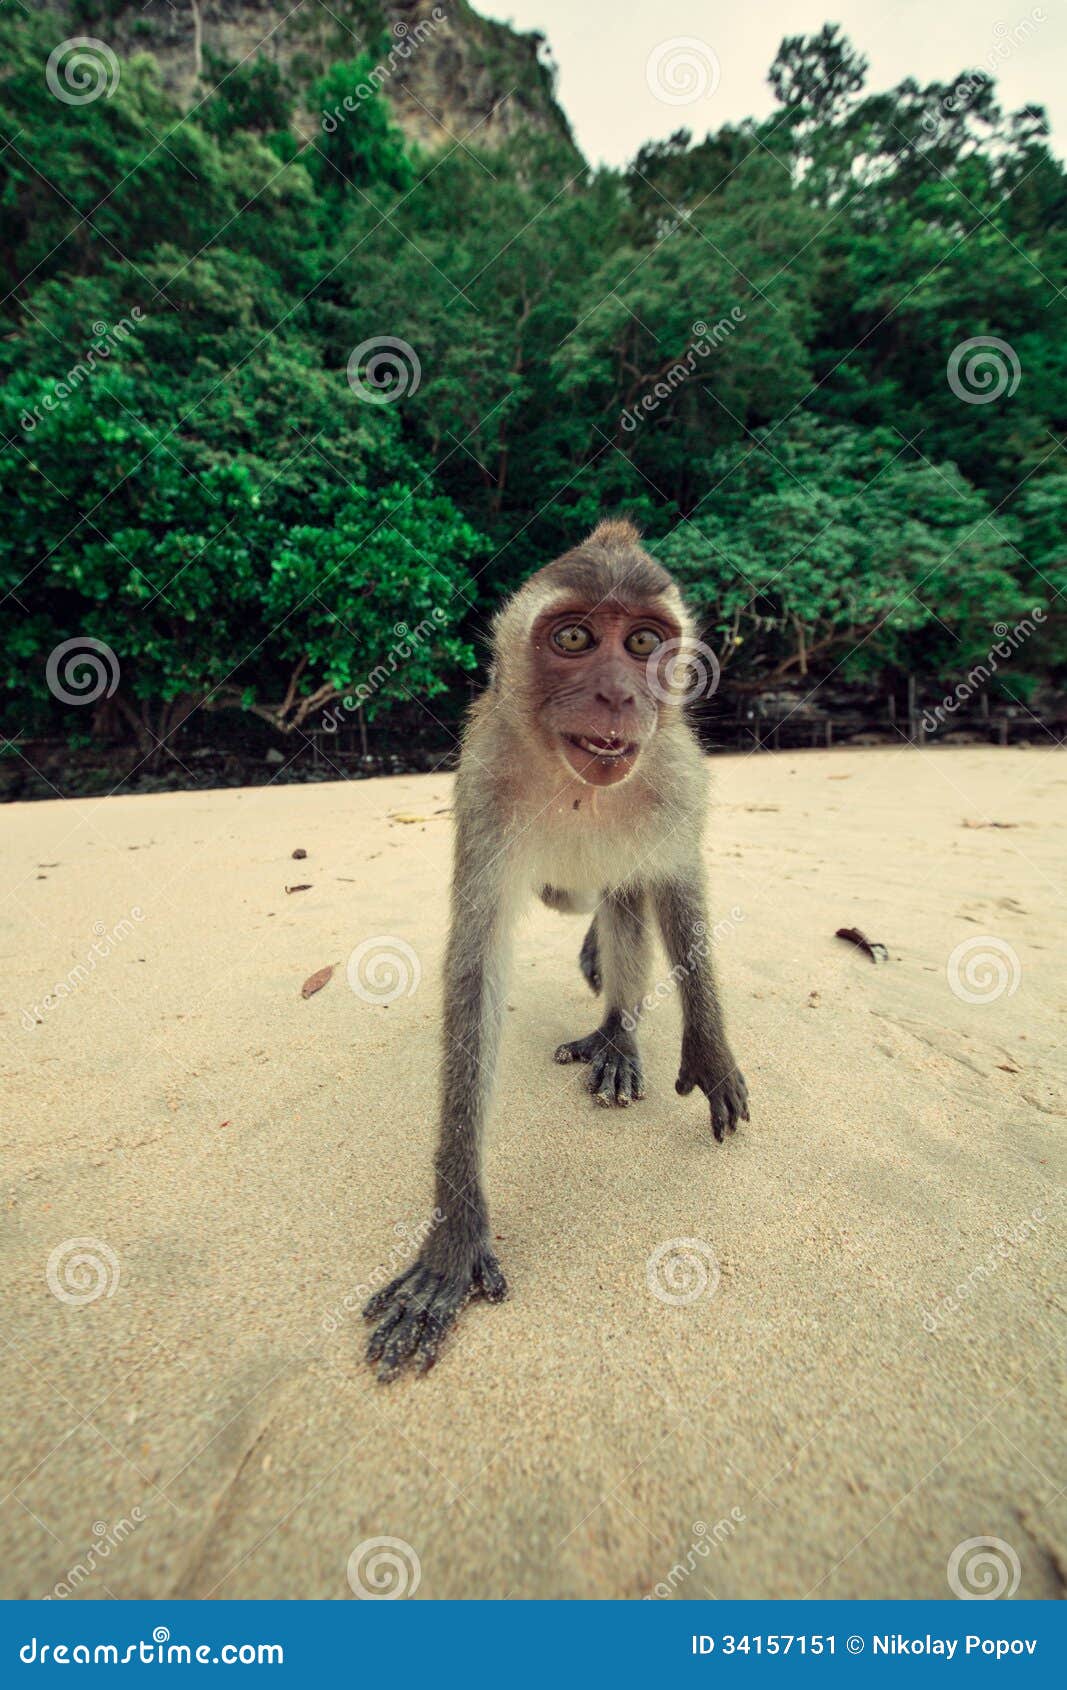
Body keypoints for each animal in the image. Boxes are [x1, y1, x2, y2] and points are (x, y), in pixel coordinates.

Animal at [363, 518, 748, 1379]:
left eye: (643, 642)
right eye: (573, 638)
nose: (618, 694)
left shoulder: (676, 774)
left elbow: (676, 885)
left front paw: (708, 1048)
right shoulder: (482, 781)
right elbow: (474, 968)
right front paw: (455, 1236)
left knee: (624, 898)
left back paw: (616, 1033)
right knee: (574, 896)